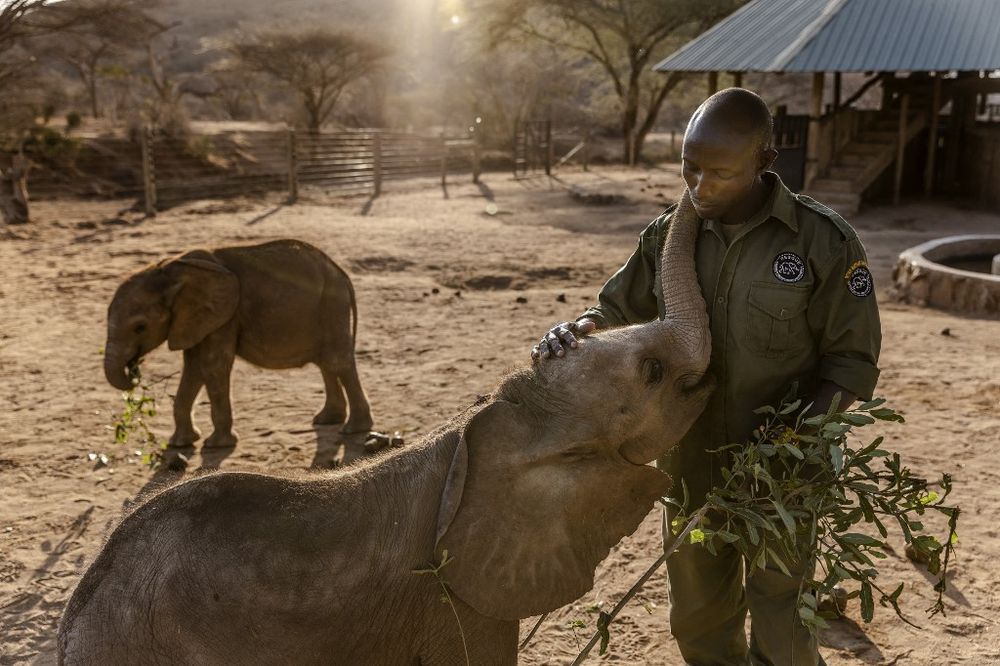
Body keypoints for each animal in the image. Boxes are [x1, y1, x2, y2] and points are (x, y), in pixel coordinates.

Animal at [103, 239, 373, 448]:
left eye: (140, 327)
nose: (134, 369)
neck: (169, 269)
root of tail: (341, 273)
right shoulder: (196, 320)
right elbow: (193, 368)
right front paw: (180, 443)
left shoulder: (225, 316)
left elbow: (212, 366)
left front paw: (216, 445)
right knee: (325, 361)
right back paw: (327, 420)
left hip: (332, 305)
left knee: (337, 360)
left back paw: (353, 430)